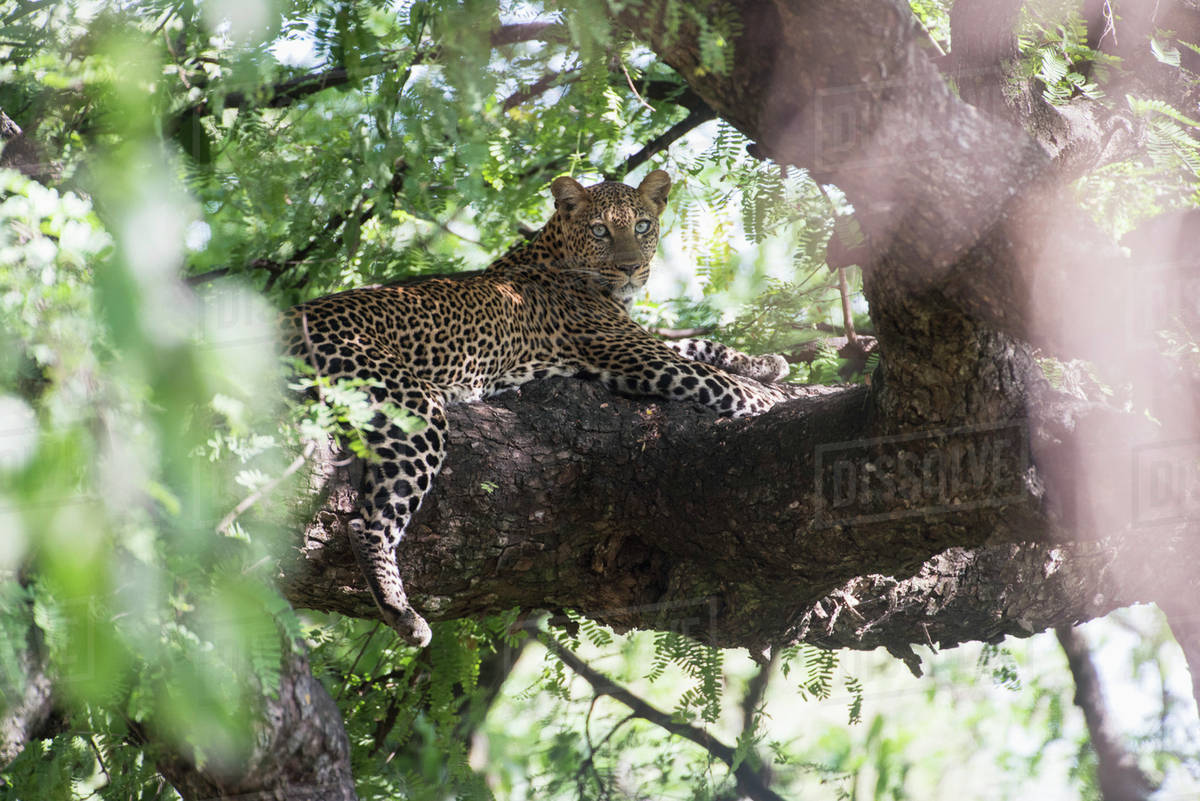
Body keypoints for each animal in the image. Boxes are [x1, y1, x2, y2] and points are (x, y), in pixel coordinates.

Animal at [281, 170, 793, 647]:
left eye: (643, 225)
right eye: (601, 230)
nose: (631, 268)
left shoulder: (640, 345)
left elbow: (703, 346)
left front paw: (767, 362)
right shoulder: (645, 359)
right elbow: (725, 384)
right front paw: (777, 398)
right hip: (412, 408)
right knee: (367, 525)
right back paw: (403, 613)